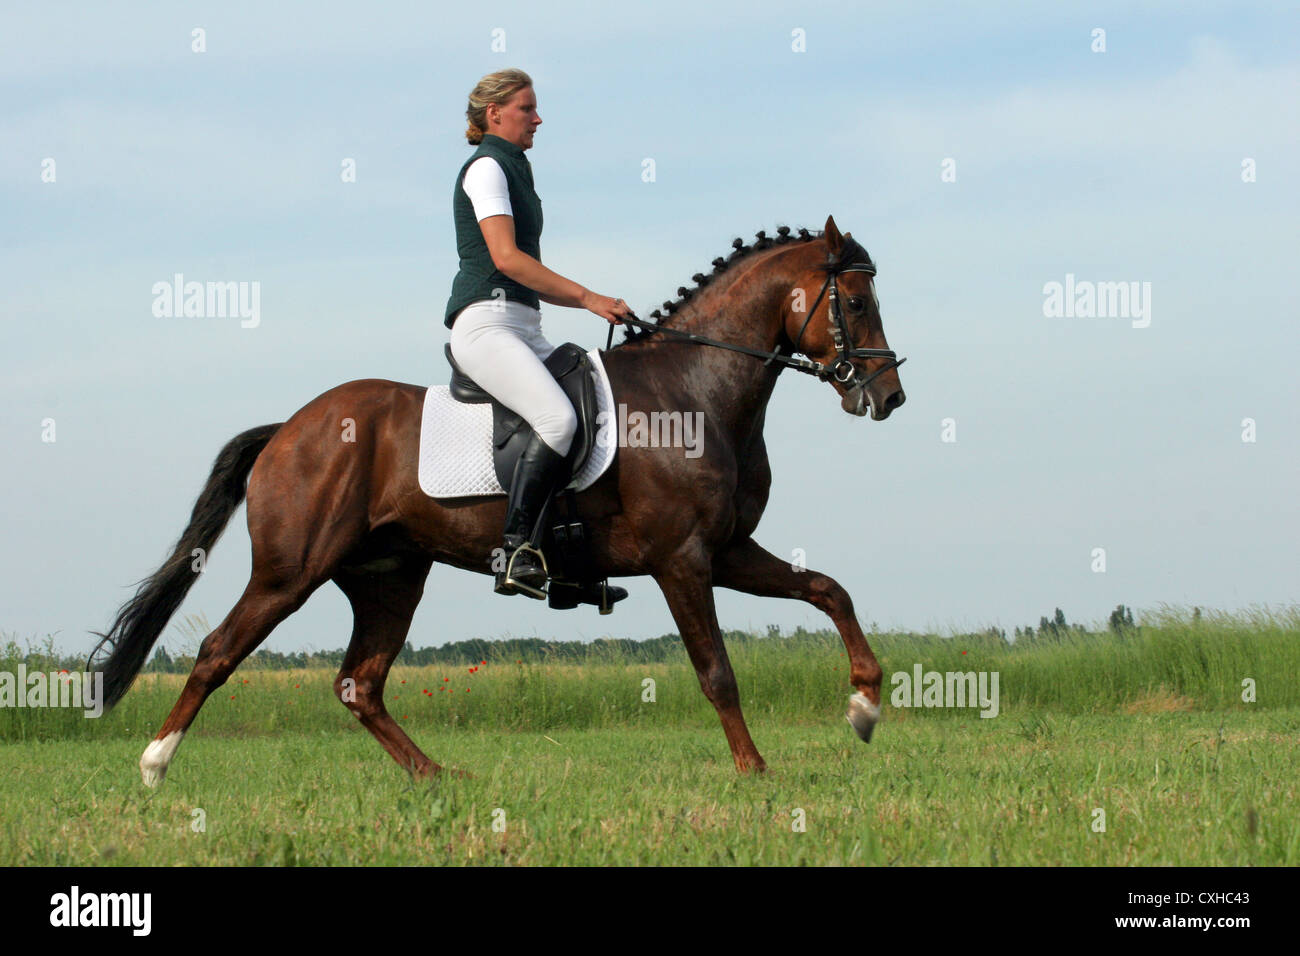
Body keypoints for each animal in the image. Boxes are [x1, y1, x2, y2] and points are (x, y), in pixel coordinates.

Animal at [92, 215, 906, 784]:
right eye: (856, 299)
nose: (889, 397)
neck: (694, 391)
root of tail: (288, 428)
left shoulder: (727, 550)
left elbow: (828, 590)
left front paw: (865, 707)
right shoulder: (682, 561)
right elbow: (717, 672)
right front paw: (754, 771)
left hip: (390, 578)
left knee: (361, 684)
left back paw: (438, 777)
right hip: (289, 573)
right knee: (218, 652)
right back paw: (154, 766)